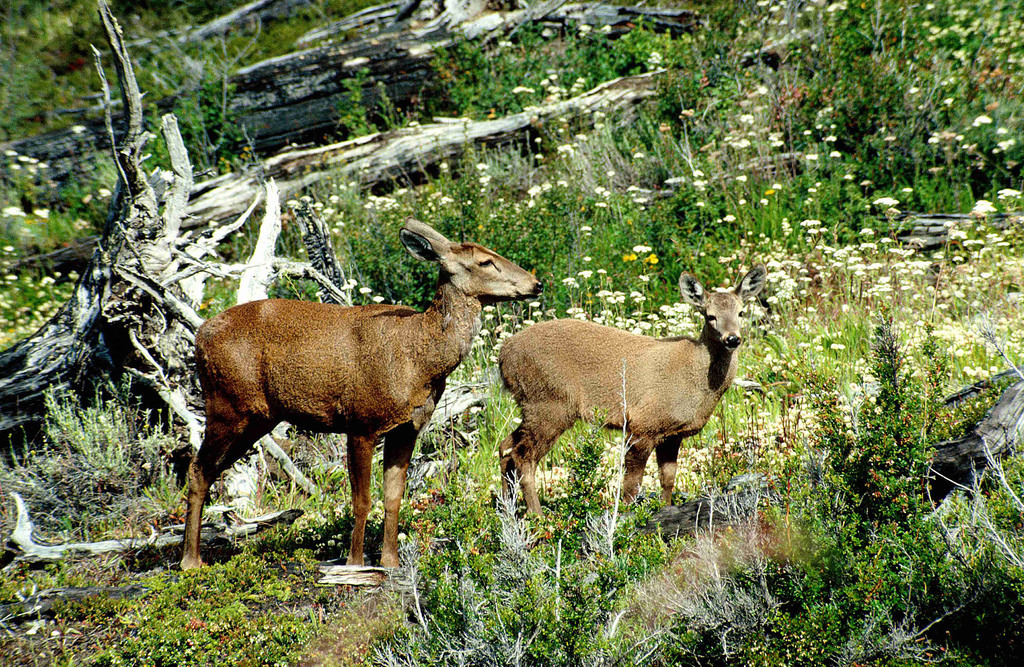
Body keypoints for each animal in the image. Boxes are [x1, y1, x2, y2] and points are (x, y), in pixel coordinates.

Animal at [181, 219, 542, 570]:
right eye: (485, 261)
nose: (536, 284)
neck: (419, 358)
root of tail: (199, 336)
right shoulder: (360, 421)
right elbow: (362, 499)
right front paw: (355, 563)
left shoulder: (406, 428)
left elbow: (394, 496)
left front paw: (390, 562)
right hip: (226, 405)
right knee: (196, 469)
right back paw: (190, 561)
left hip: (257, 418)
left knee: (208, 470)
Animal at [498, 264, 767, 514]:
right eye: (710, 316)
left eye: (741, 312)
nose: (732, 339)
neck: (697, 380)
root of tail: (504, 354)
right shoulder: (642, 423)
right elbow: (631, 485)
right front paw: (626, 516)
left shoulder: (672, 434)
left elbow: (667, 479)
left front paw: (664, 508)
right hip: (549, 402)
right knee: (523, 456)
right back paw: (537, 516)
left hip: (533, 405)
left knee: (505, 447)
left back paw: (508, 510)